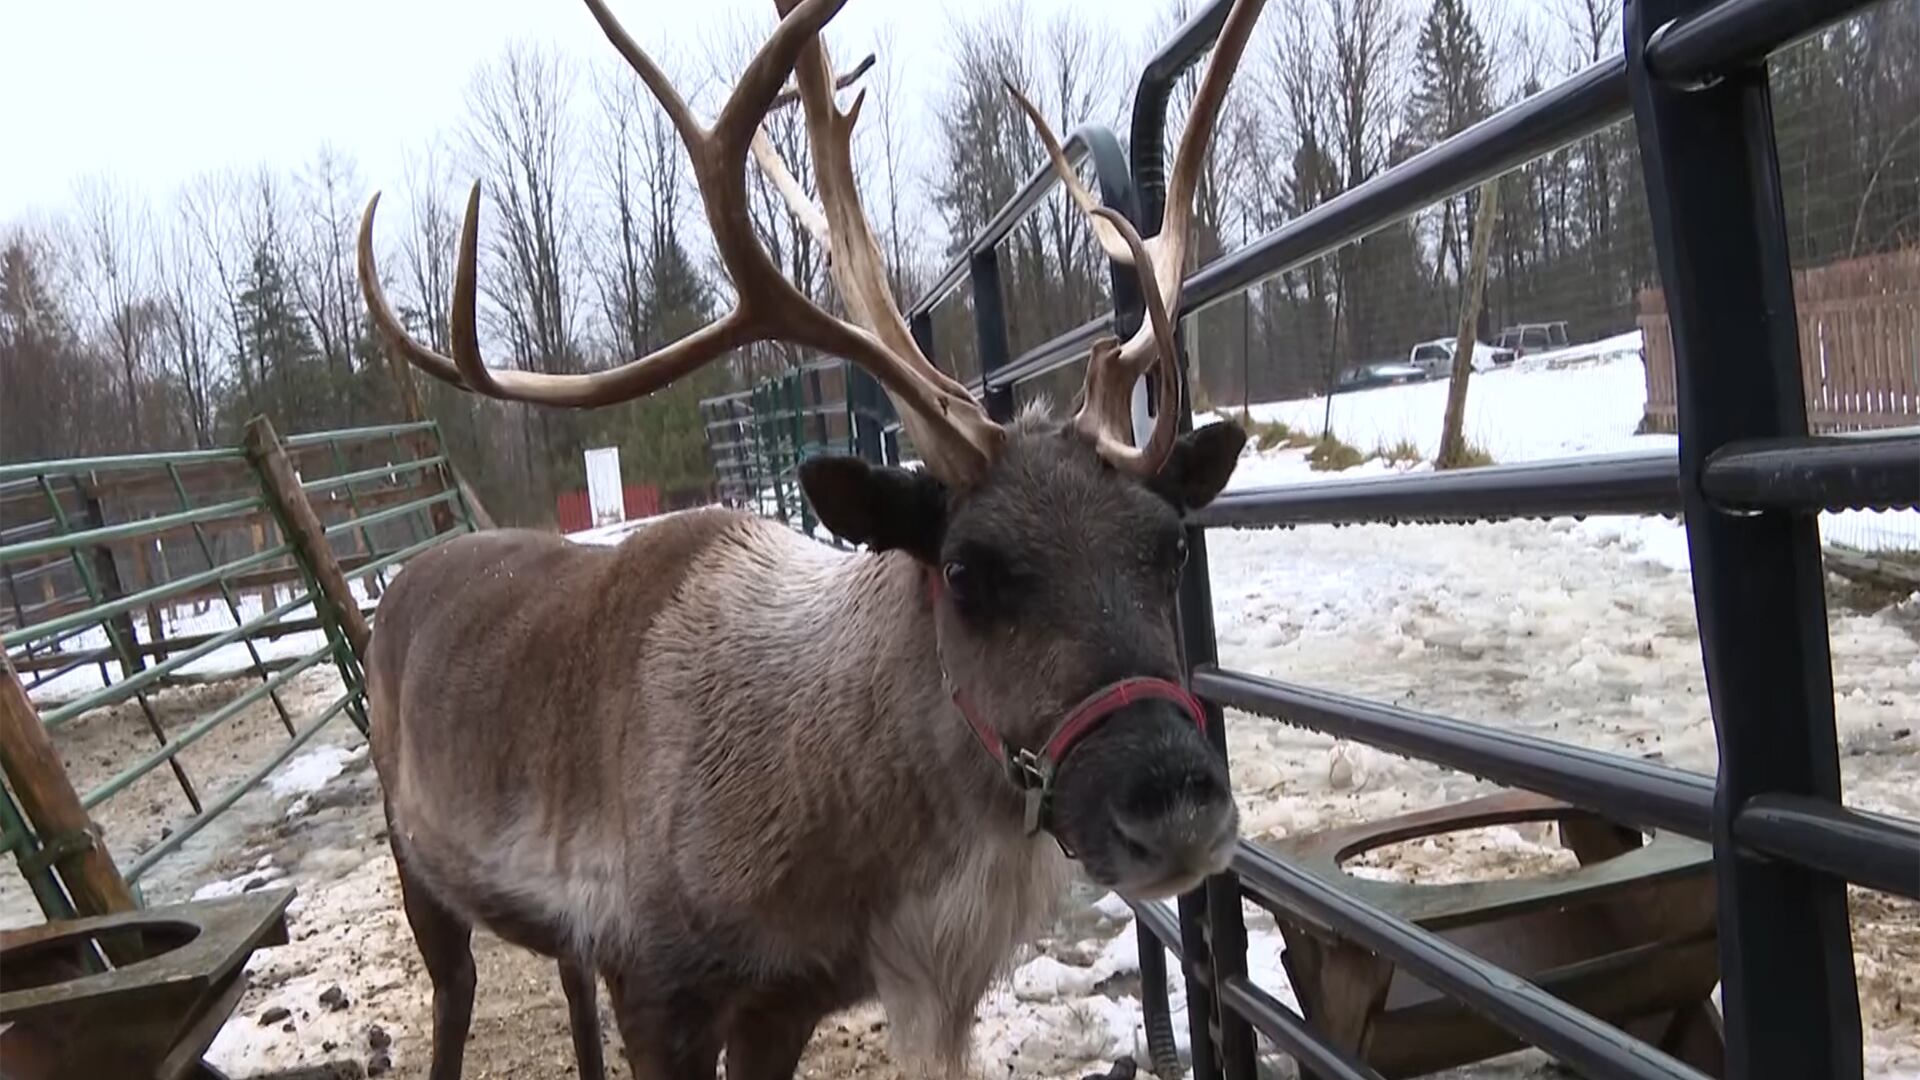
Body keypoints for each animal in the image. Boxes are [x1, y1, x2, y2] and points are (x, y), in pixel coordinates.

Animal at [353, 0, 1268, 1077]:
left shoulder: (786, 998)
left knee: (558, 982)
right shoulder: (654, 983)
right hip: (414, 858)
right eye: (966, 569)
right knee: (452, 997)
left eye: (1171, 545)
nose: (1174, 801)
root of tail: (400, 579)